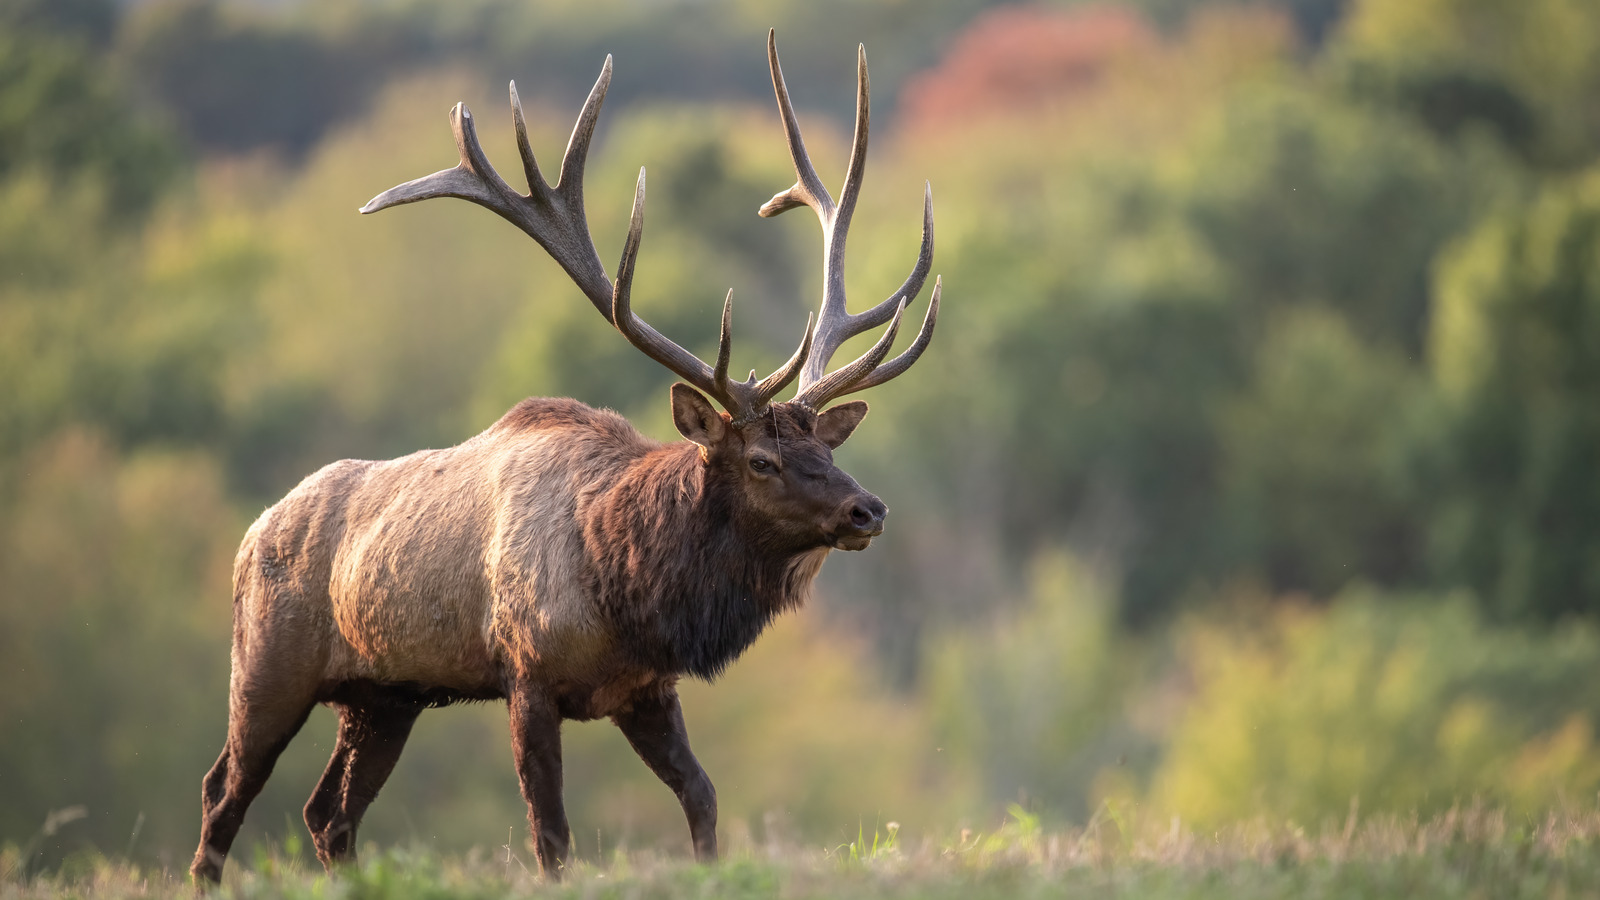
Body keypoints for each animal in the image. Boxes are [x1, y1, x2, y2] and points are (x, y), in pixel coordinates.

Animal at [190, 31, 938, 884]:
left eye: (823, 443)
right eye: (760, 462)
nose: (866, 509)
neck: (627, 584)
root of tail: (252, 533)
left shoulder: (645, 688)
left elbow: (704, 798)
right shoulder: (529, 673)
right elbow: (551, 833)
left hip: (384, 694)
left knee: (327, 813)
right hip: (267, 666)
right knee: (224, 791)